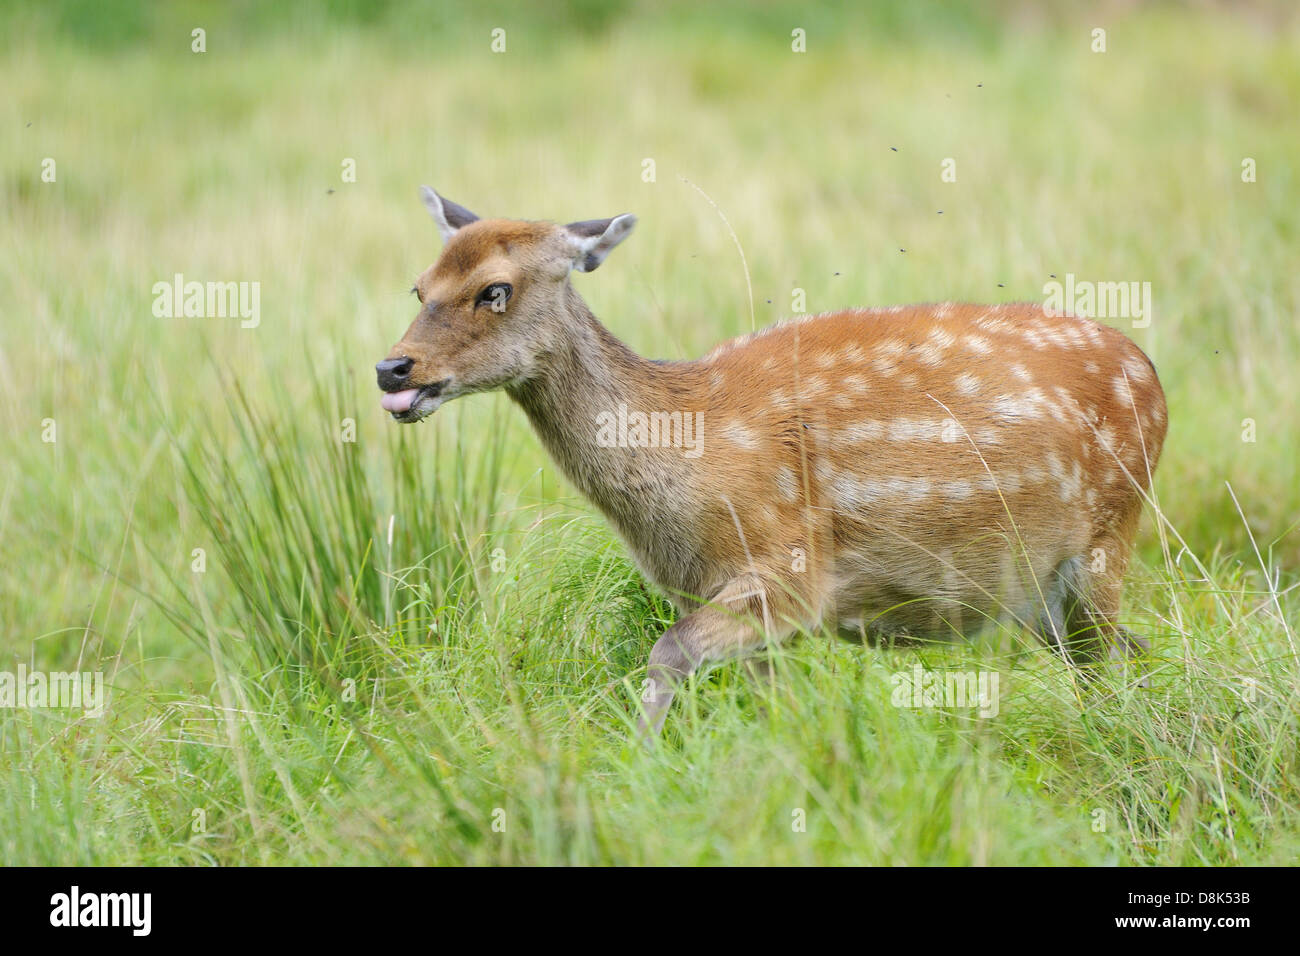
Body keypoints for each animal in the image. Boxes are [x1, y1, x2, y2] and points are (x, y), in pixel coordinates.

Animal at [376, 187, 1168, 735]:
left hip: (1108, 534)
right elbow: (768, 705)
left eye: (495, 289)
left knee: (1115, 656)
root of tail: (1154, 377)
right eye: (418, 286)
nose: (392, 368)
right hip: (1044, 593)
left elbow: (667, 653)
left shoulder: (790, 566)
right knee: (1128, 653)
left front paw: (634, 759)